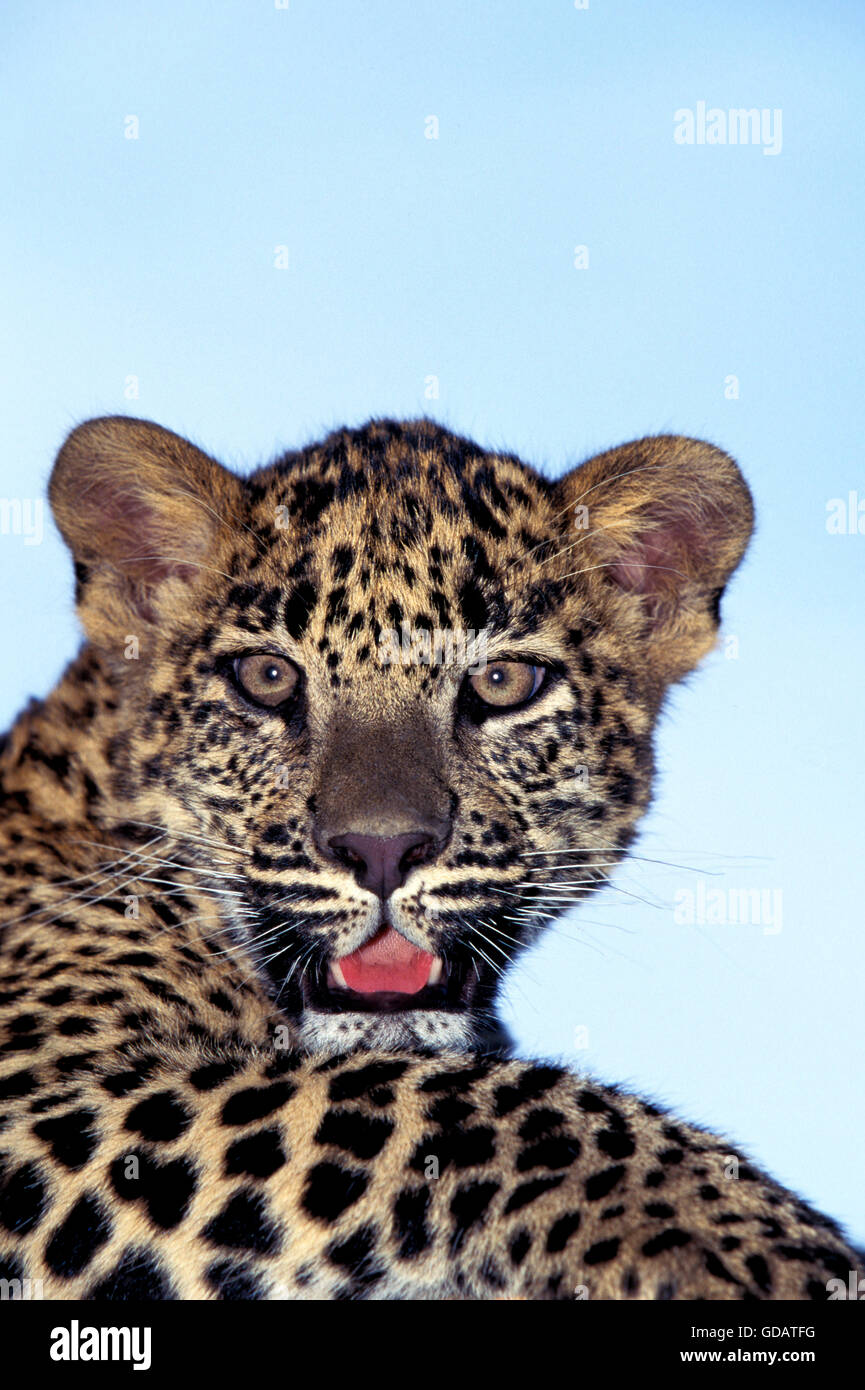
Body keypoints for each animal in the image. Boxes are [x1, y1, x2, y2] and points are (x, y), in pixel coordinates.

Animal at [0, 414, 860, 1301]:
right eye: (266, 677)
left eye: (504, 680)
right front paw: (725, 1229)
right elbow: (465, 1101)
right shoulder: (49, 1100)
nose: (381, 849)